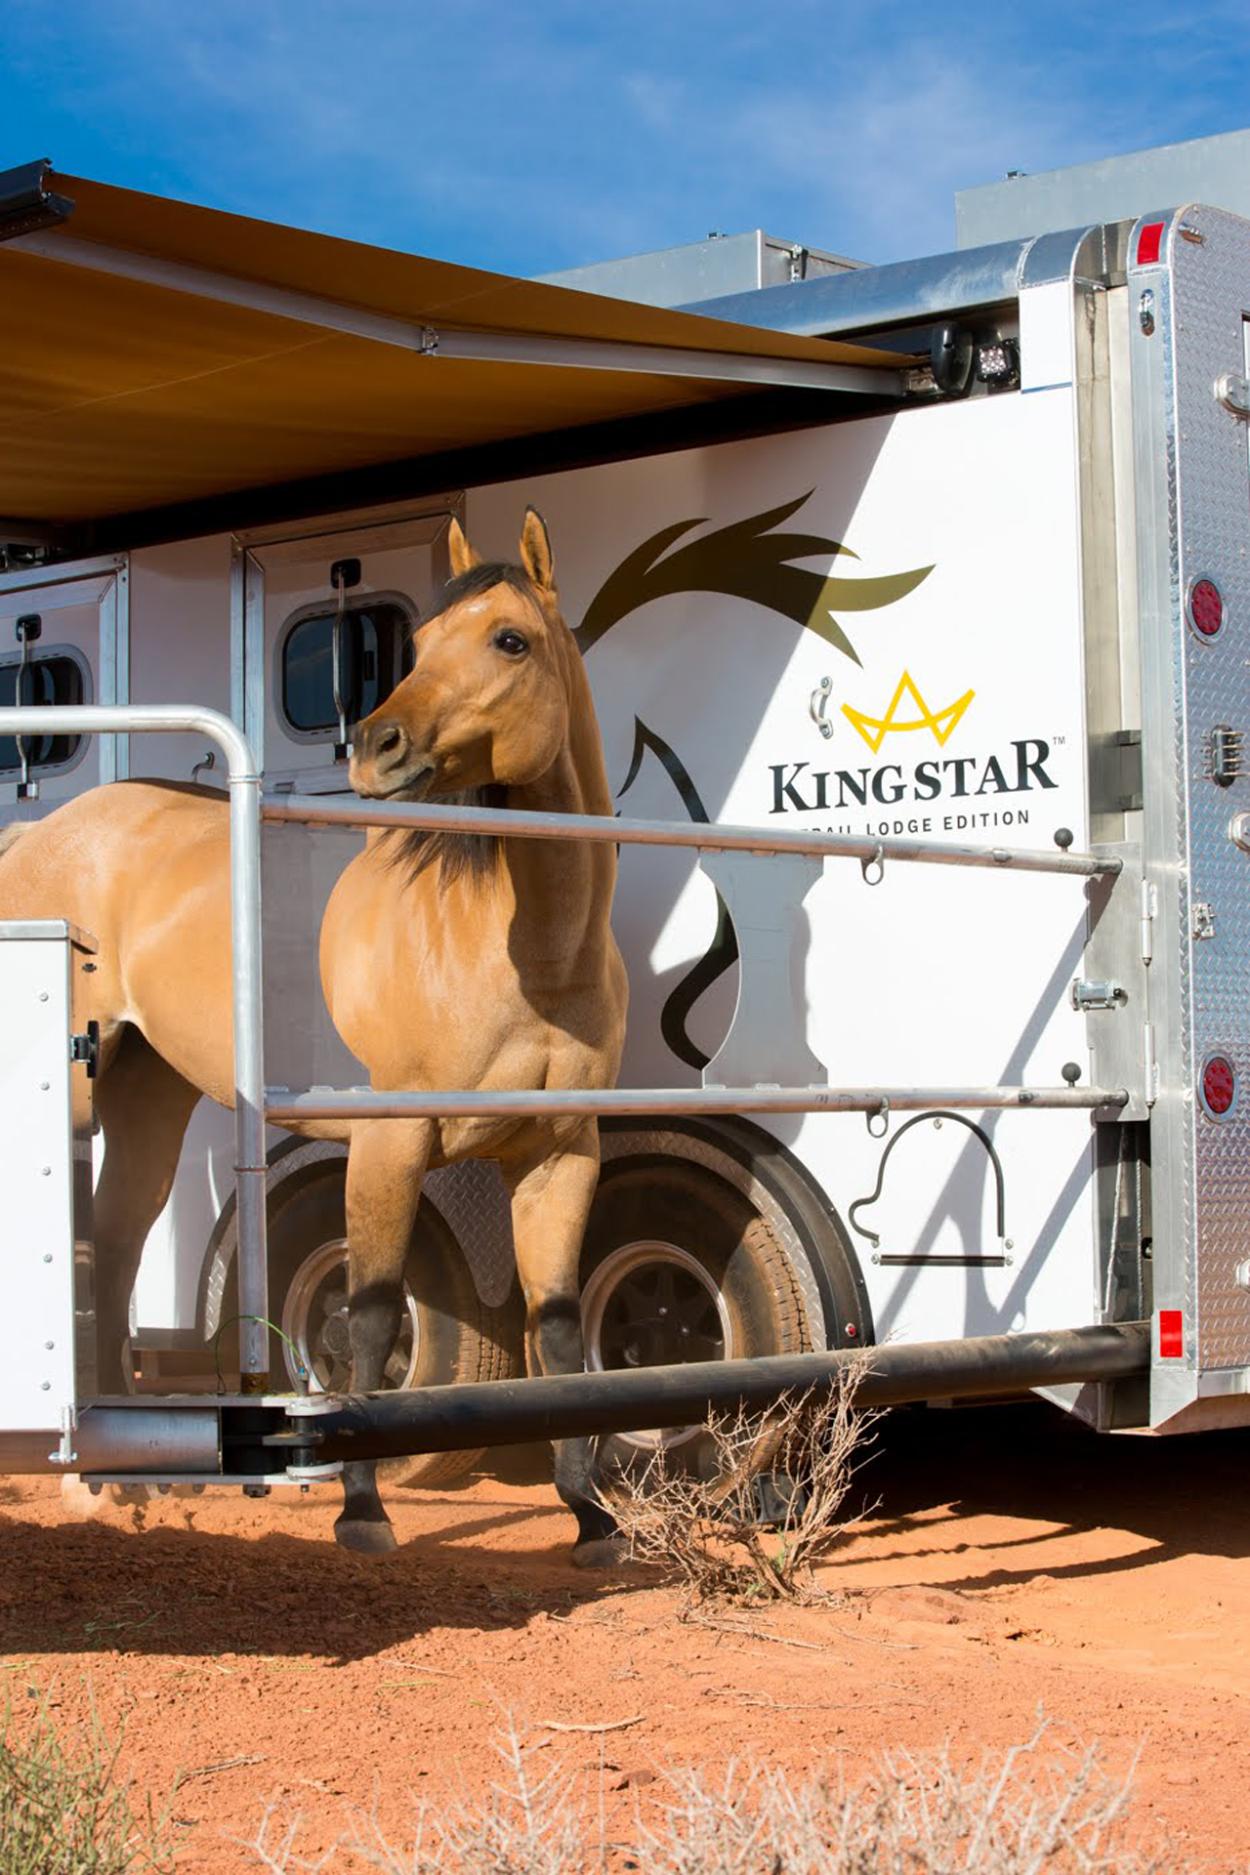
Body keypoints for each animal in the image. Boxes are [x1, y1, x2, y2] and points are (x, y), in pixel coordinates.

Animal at [0, 510, 629, 1562]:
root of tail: (40, 837)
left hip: (149, 1093)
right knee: (84, 1249)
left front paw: (590, 1516)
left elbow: (558, 1326)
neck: (517, 952)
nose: (376, 744)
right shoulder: (387, 1148)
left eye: (510, 639)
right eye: (422, 640)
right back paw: (86, 1479)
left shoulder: (558, 1152)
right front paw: (361, 1509)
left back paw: (124, 1471)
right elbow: (366, 1324)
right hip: (78, 1098)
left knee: (121, 1242)